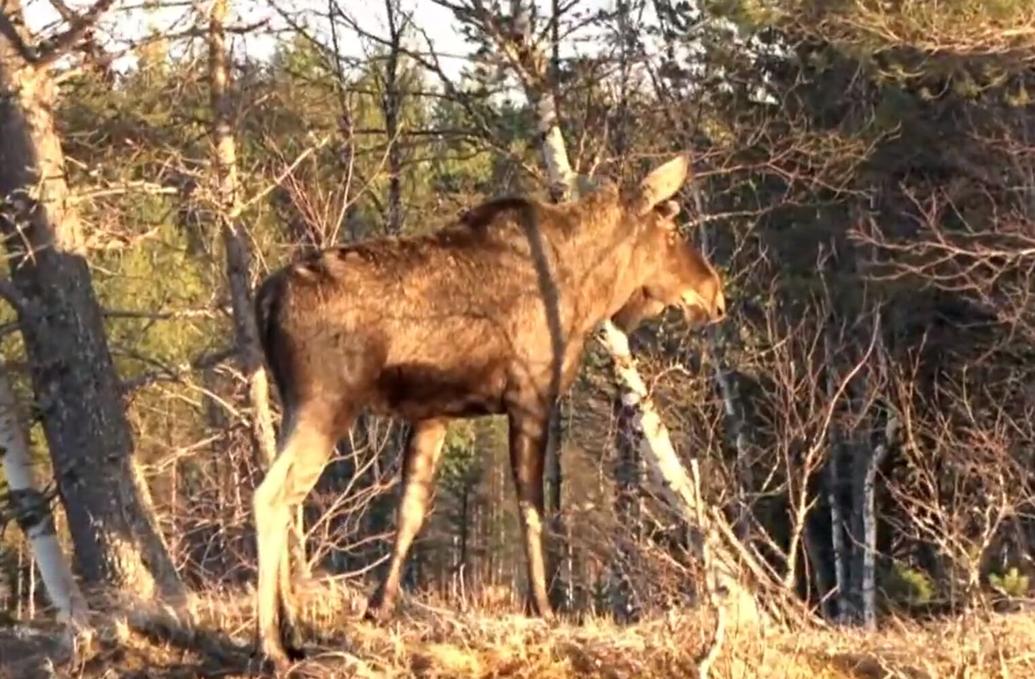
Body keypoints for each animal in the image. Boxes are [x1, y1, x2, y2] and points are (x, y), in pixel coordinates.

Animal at [250, 154, 726, 668]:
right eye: (672, 234)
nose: (715, 293)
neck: (588, 294)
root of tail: (264, 301)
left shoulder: (432, 413)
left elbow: (410, 512)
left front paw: (379, 608)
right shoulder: (530, 398)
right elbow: (532, 510)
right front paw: (542, 607)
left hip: (294, 405)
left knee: (288, 499)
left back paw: (293, 633)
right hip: (326, 402)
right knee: (271, 496)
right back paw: (272, 644)